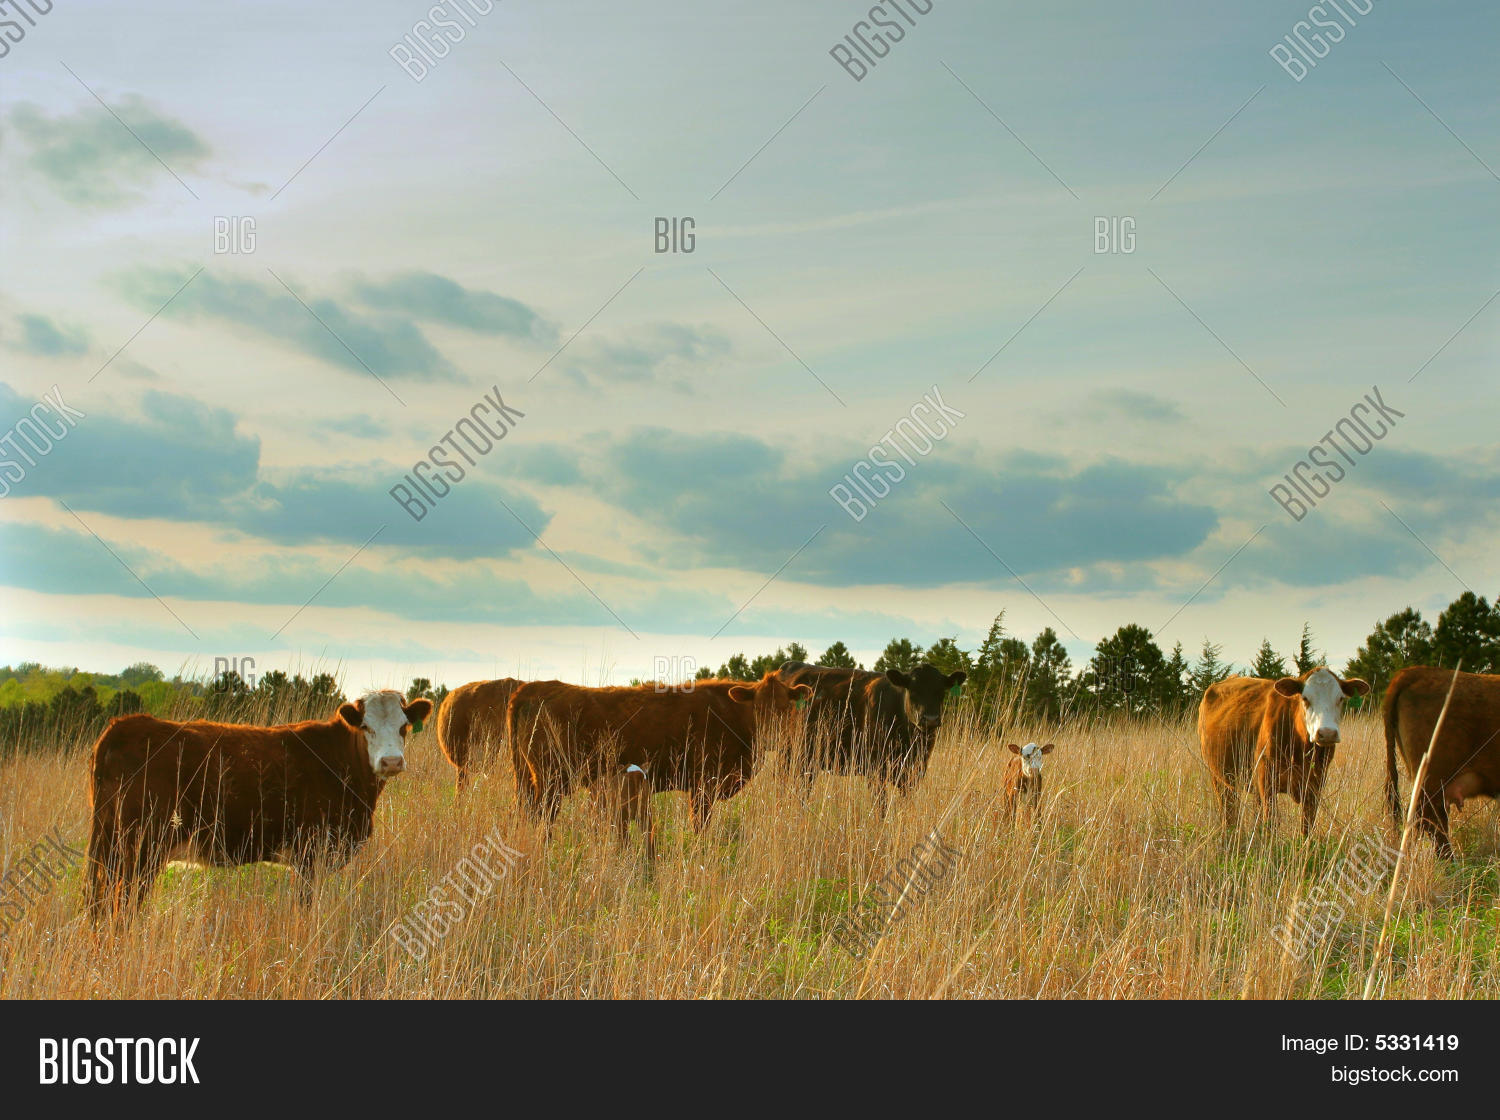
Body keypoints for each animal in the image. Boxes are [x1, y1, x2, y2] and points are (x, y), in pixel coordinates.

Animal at [85, 689, 432, 921]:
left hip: (111, 844)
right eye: (366, 727)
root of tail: (125, 726)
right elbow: (305, 907)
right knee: (120, 907)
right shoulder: (309, 851)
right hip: (140, 848)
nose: (391, 761)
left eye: (403, 727)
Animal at [506, 673, 812, 858]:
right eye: (759, 708)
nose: (774, 736)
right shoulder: (703, 785)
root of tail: (532, 687)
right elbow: (700, 825)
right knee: (543, 820)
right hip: (550, 781)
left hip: (529, 780)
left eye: (787, 708)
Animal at [774, 660, 966, 807]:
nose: (930, 719)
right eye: (912, 691)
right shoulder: (875, 768)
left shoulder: (915, 771)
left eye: (941, 691)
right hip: (787, 750)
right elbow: (881, 805)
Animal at [1197, 667, 1370, 835]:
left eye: (1340, 698)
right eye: (1305, 698)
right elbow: (1271, 822)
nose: (1327, 733)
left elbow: (1307, 826)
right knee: (1229, 811)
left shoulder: (1315, 785)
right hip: (1219, 777)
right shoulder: (1267, 781)